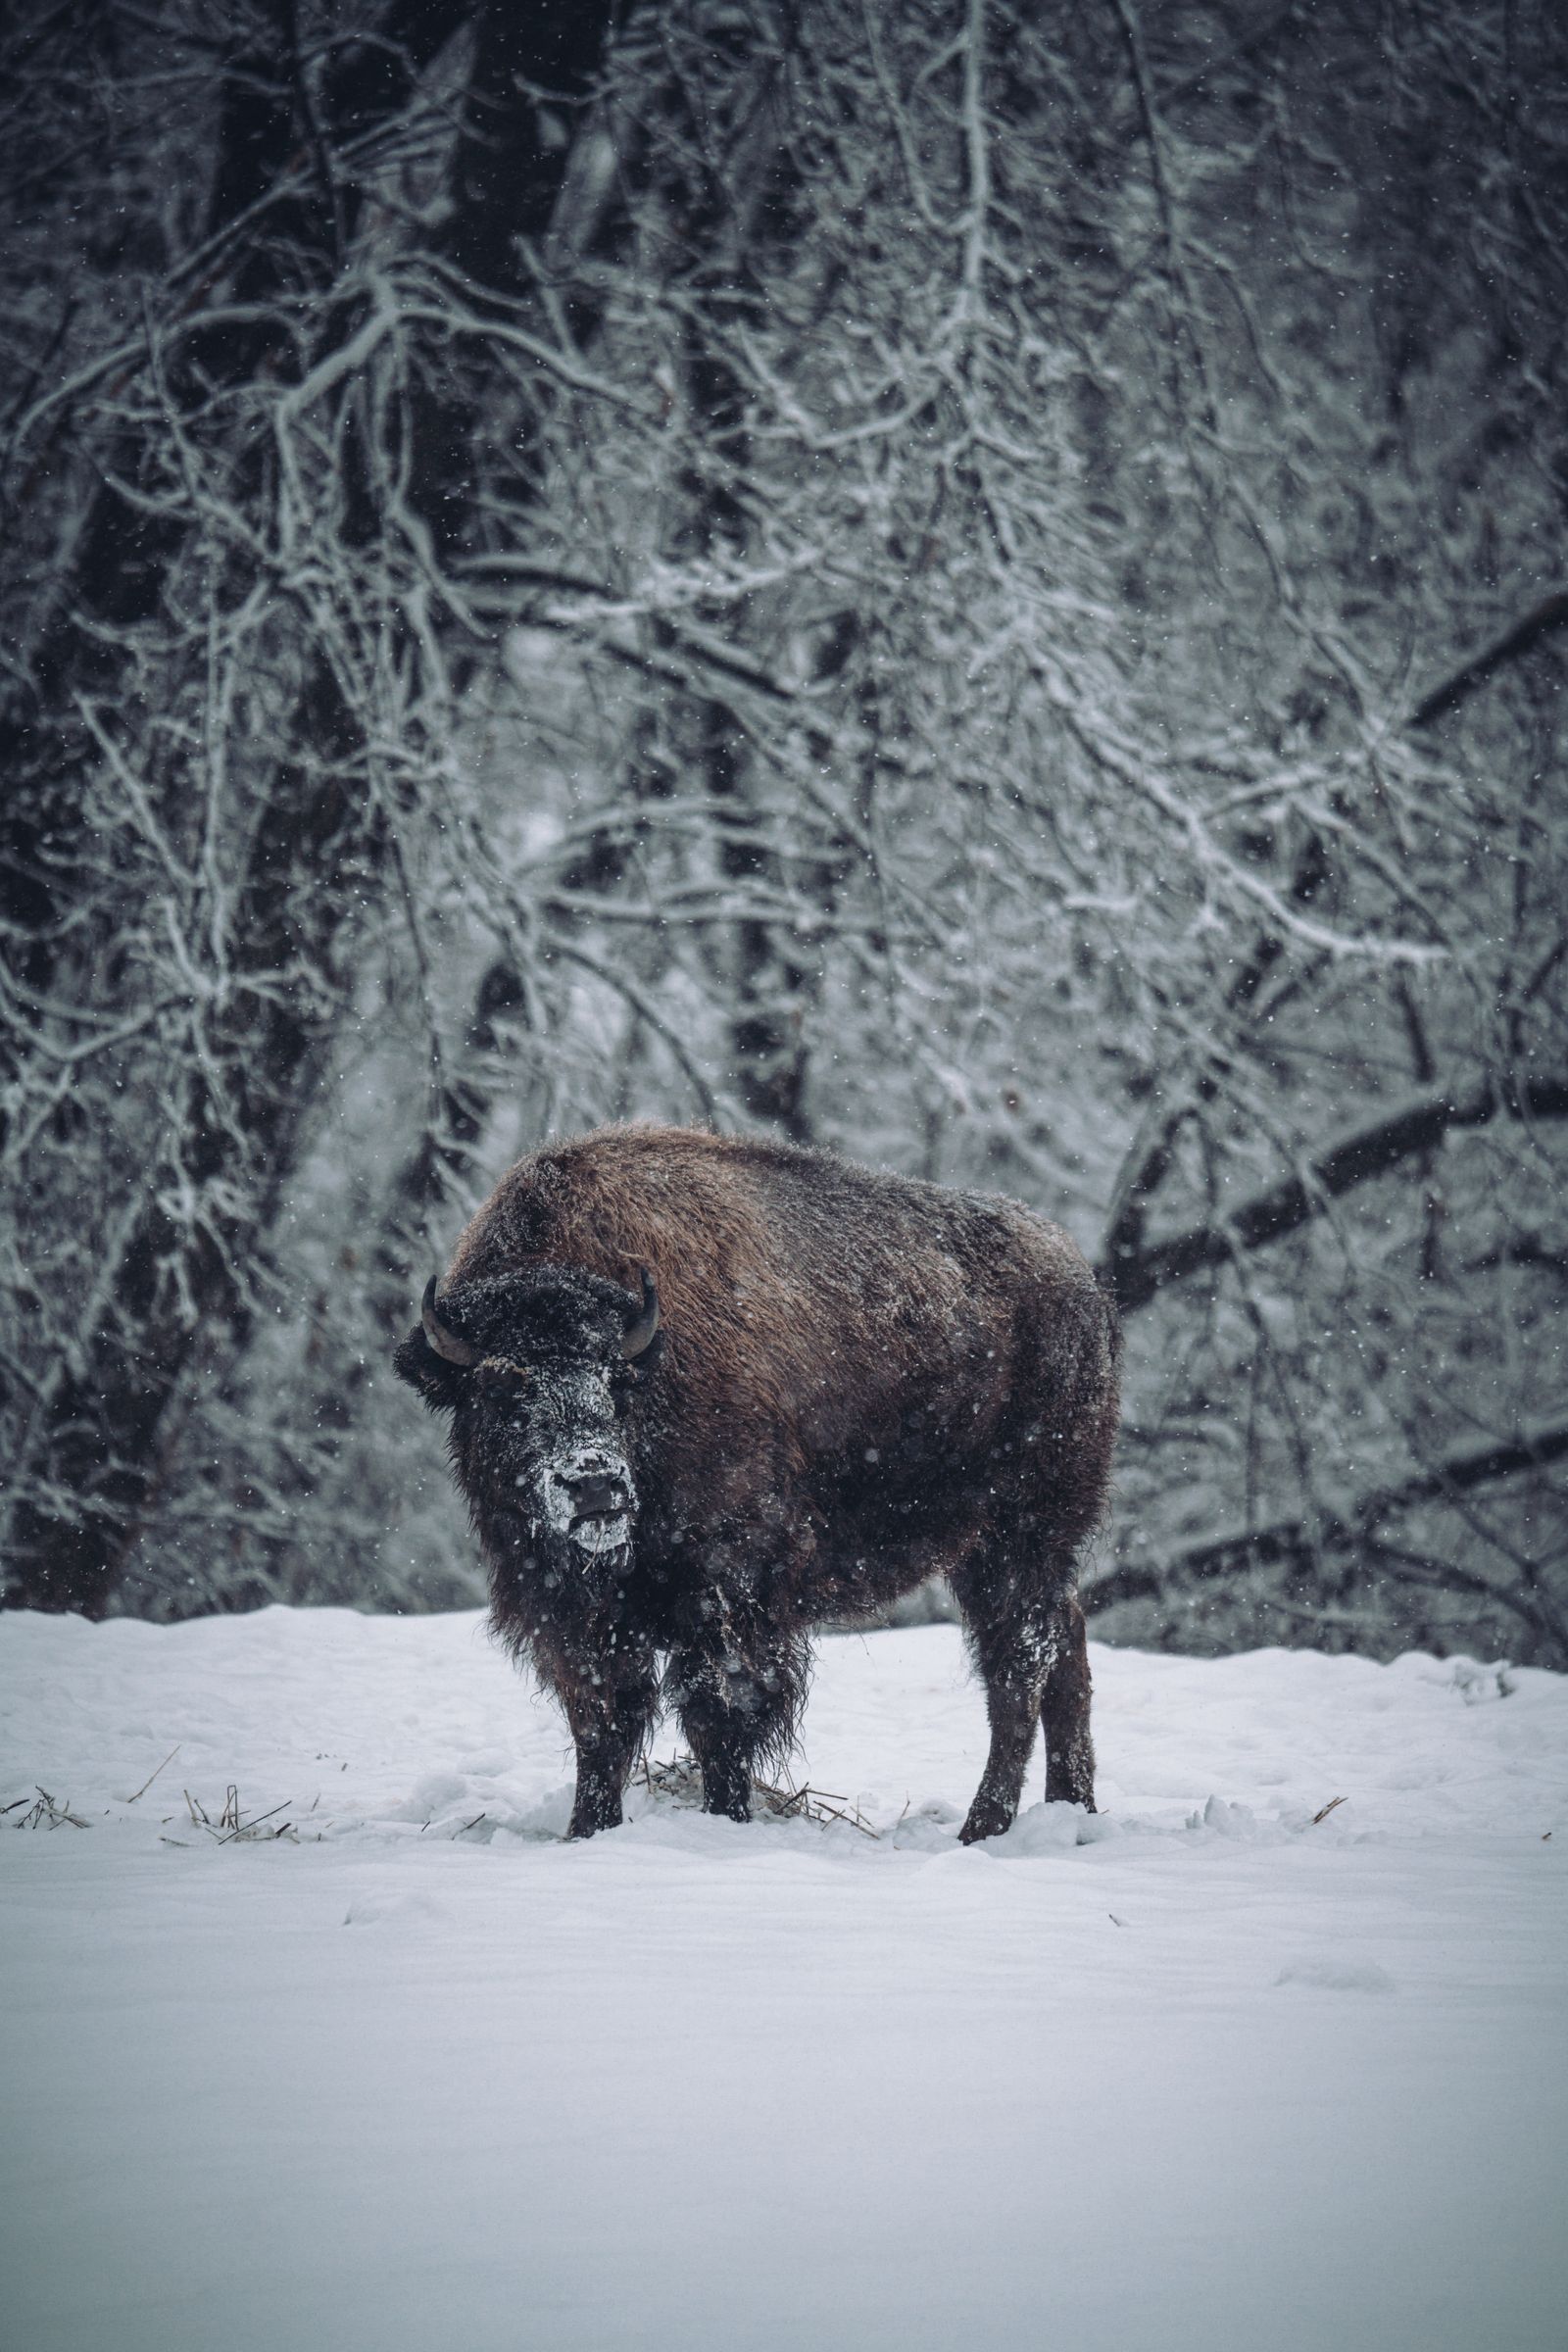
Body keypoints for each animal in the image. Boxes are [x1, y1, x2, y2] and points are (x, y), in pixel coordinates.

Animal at [395, 1124, 1120, 1841]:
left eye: (615, 1381)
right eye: (499, 1388)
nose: (595, 1485)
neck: (652, 1355)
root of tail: (1083, 1284)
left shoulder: (731, 1587)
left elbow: (719, 1712)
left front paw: (727, 1819)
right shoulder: (575, 1613)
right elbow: (603, 1721)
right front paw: (587, 1831)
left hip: (1021, 1532)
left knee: (1018, 1665)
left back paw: (982, 1827)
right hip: (993, 1548)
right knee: (1063, 1649)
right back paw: (1071, 1810)